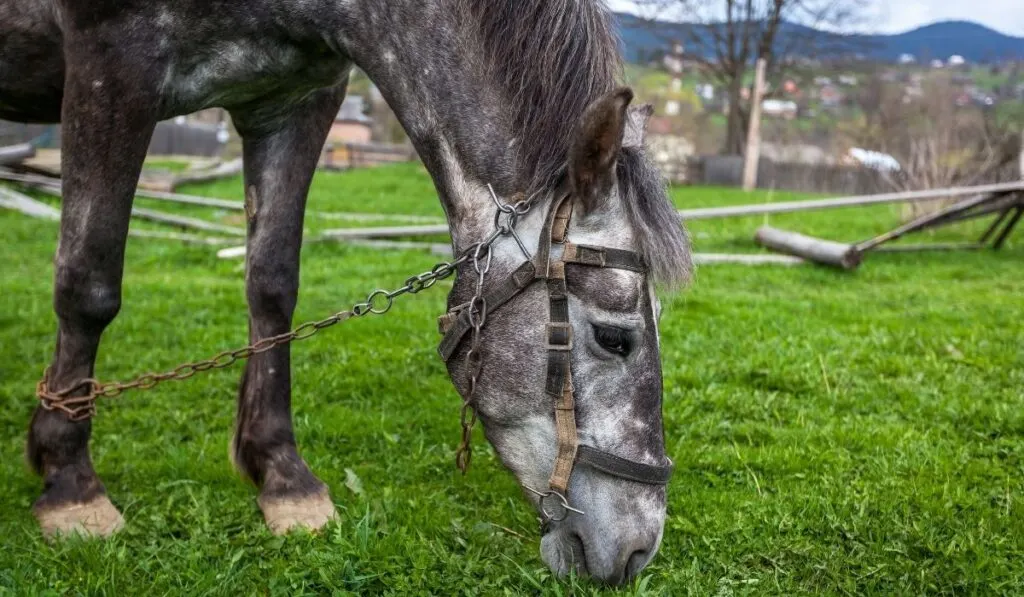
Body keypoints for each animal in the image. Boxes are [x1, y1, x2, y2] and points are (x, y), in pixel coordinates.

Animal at [1, 0, 691, 584]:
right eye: (614, 338)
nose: (638, 550)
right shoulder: (112, 68)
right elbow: (88, 281)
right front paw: (71, 483)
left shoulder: (294, 99)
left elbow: (273, 284)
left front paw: (282, 476)